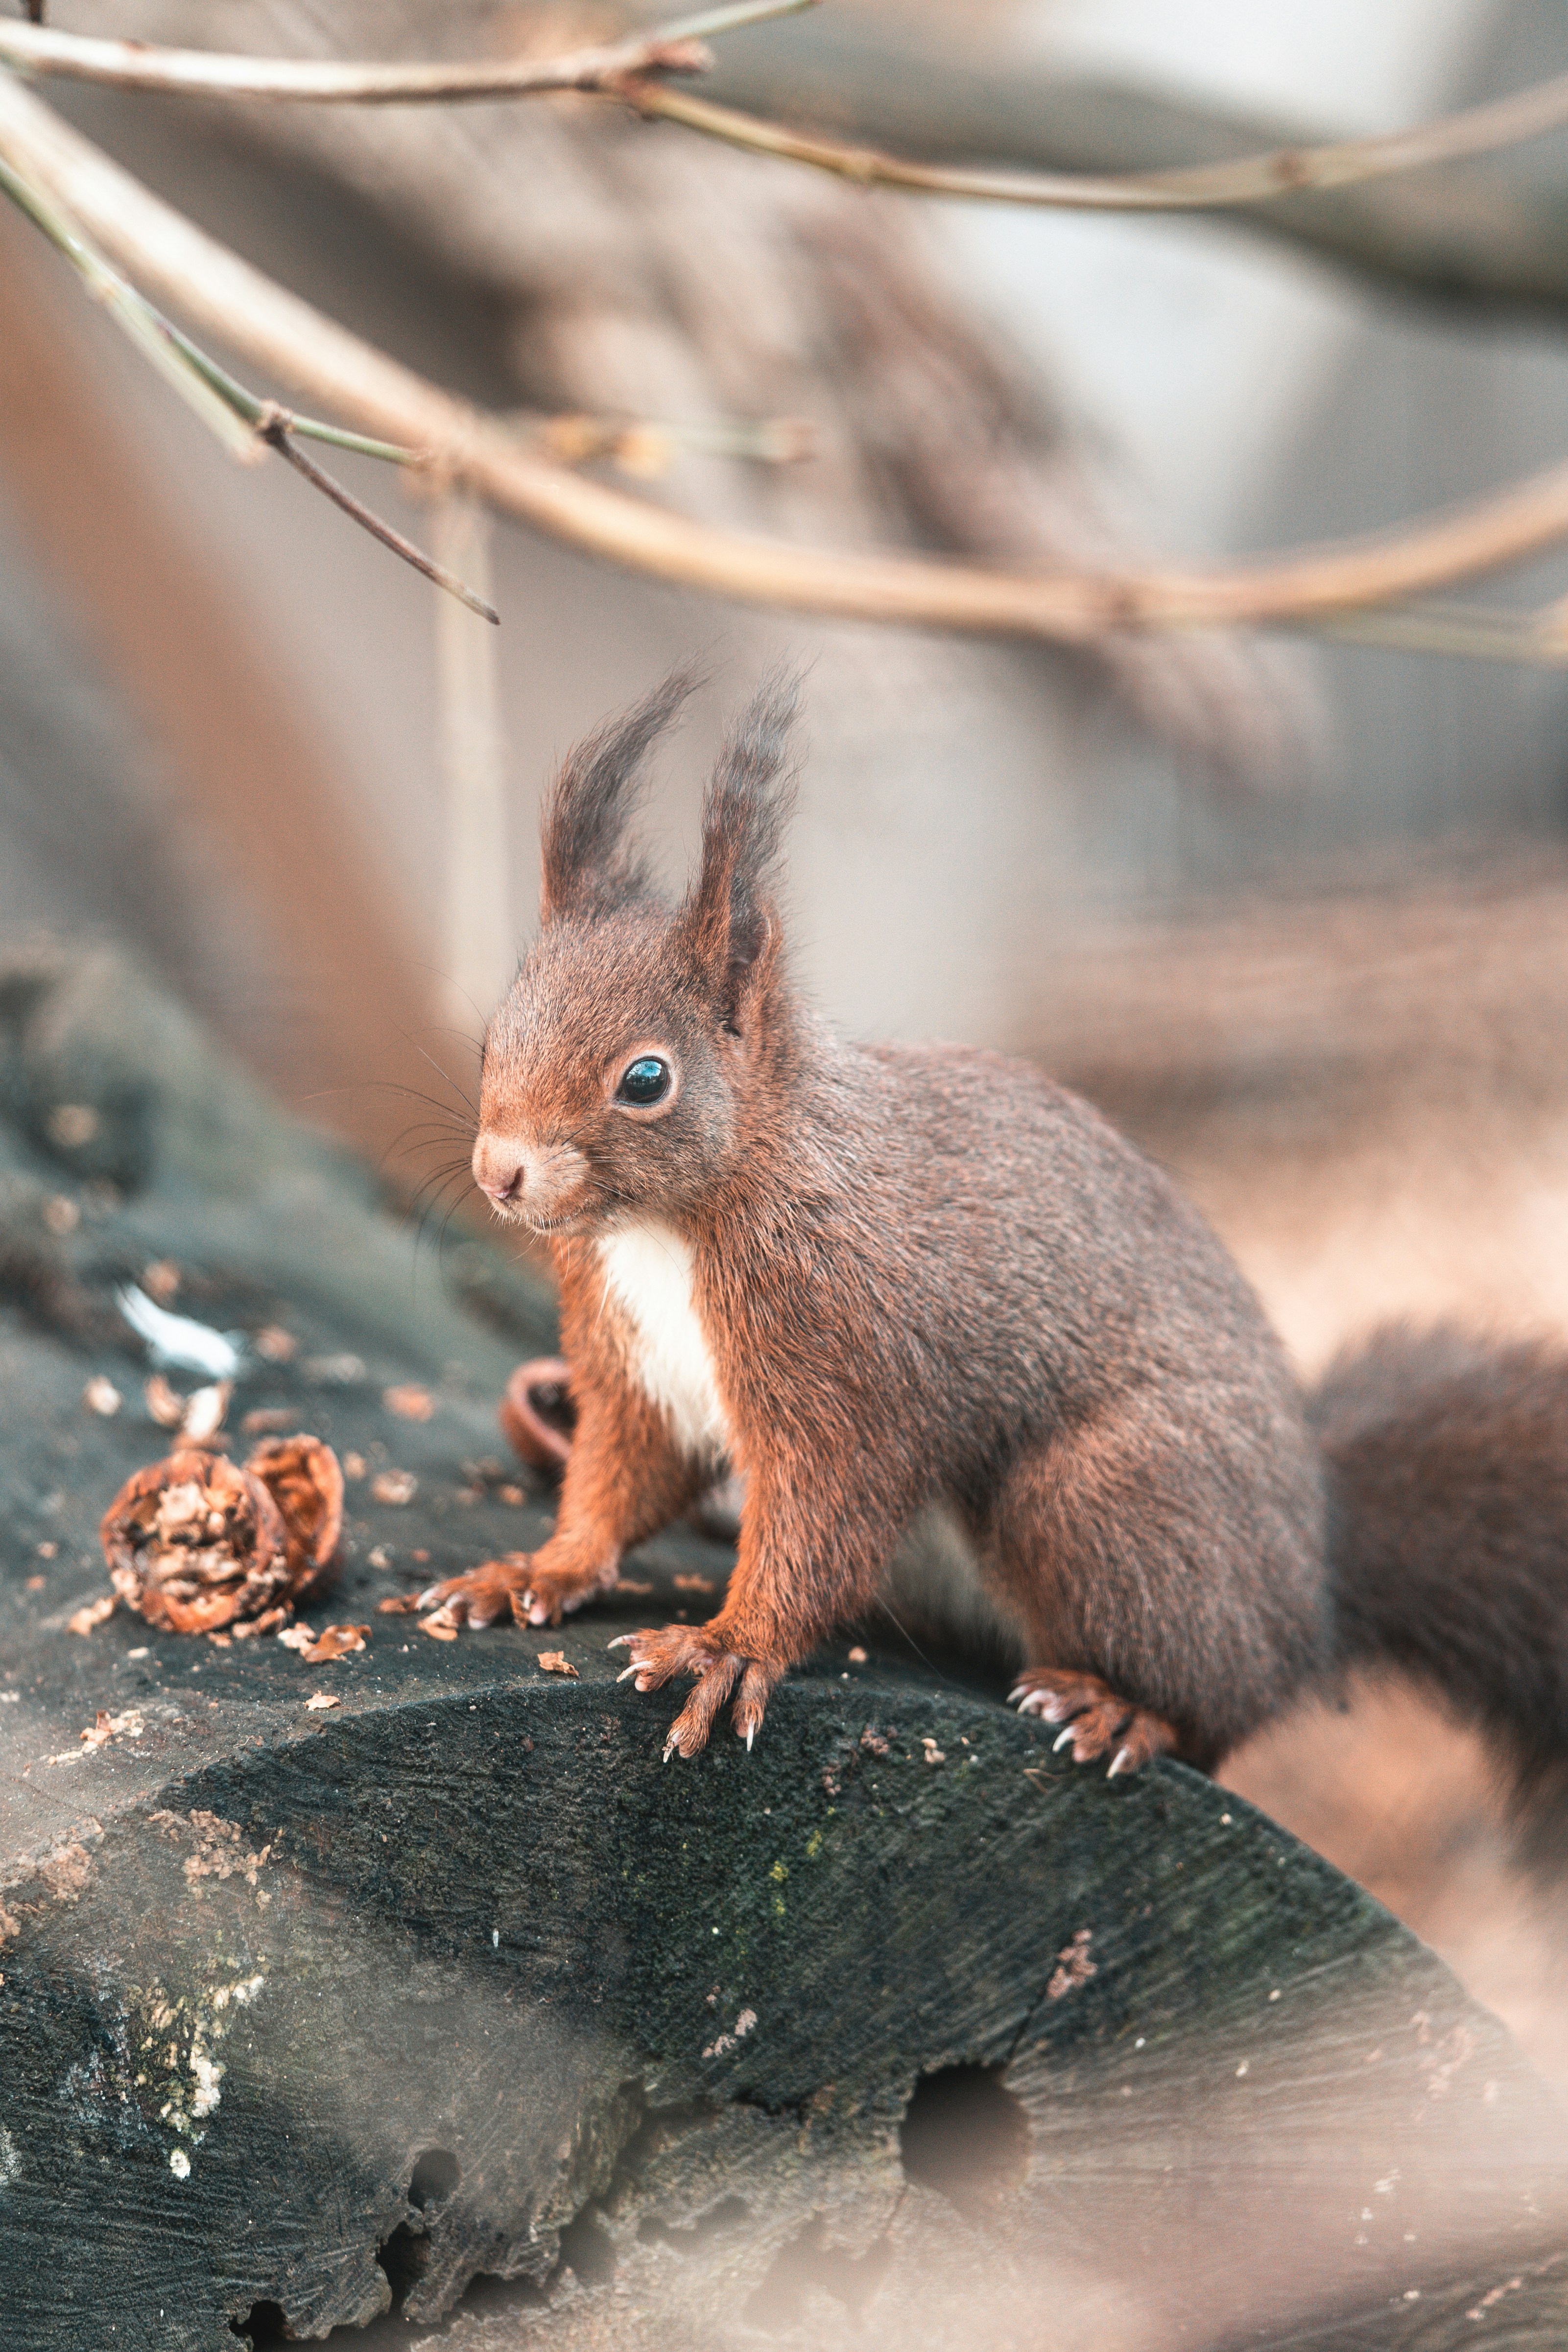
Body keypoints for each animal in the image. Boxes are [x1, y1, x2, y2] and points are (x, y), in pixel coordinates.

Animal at [421, 671, 1568, 1786]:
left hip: (1103, 1499)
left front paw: (729, 1645)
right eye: (489, 1039)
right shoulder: (636, 1366)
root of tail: (1314, 1578)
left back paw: (1122, 1708)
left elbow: (820, 1517)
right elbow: (617, 1478)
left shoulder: (845, 1358)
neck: (672, 1224)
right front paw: (538, 1569)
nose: (499, 1170)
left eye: (646, 1079)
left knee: (1220, 1711)